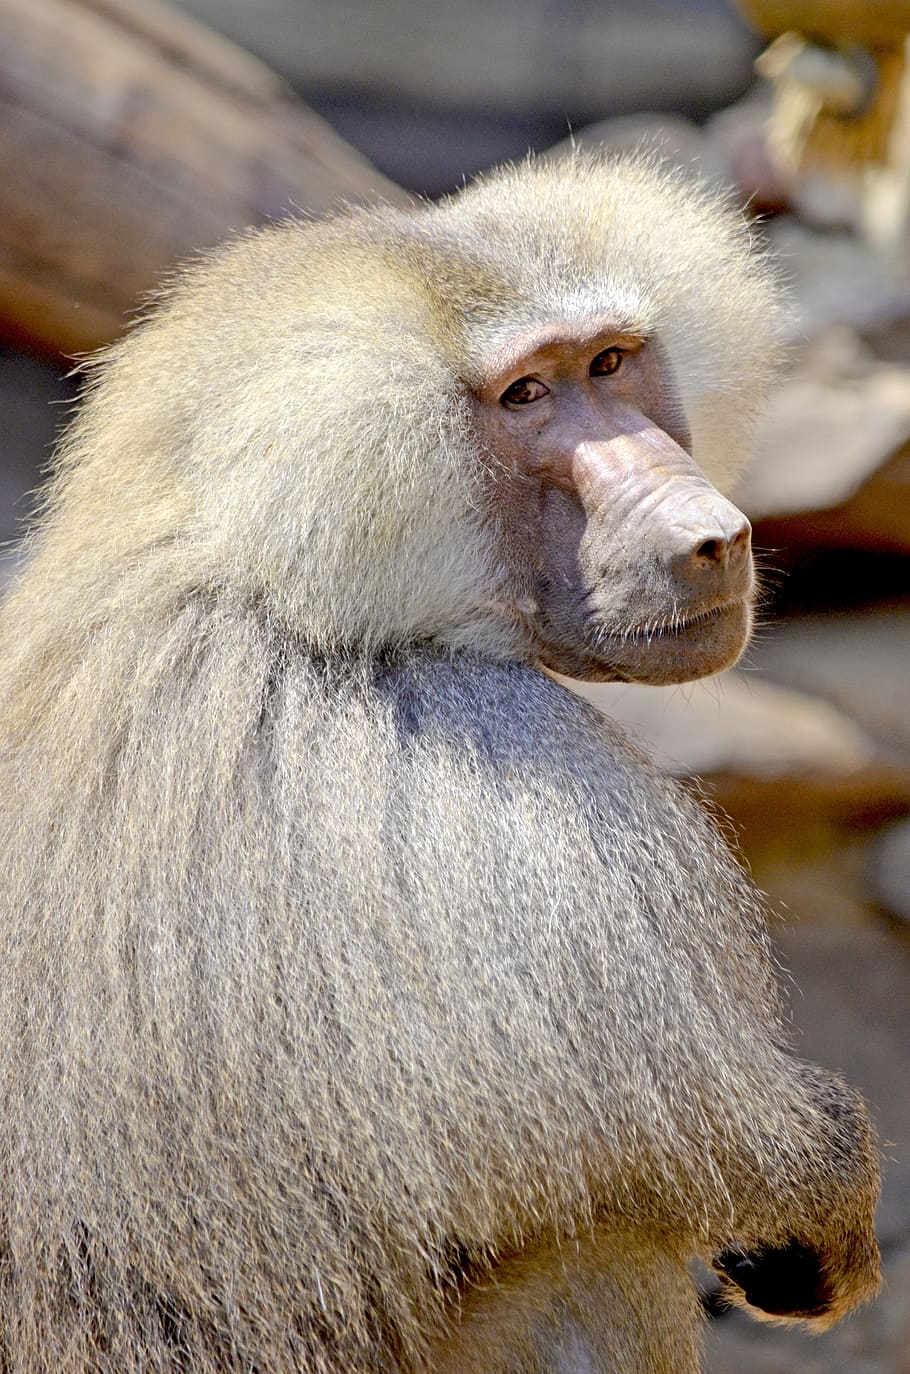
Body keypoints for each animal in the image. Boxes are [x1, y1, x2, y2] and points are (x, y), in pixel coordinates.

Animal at [0, 152, 880, 1374]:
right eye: (525, 397)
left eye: (611, 363)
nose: (714, 540)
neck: (246, 555)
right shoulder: (518, 773)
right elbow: (708, 1138)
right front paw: (827, 1197)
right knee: (604, 1257)